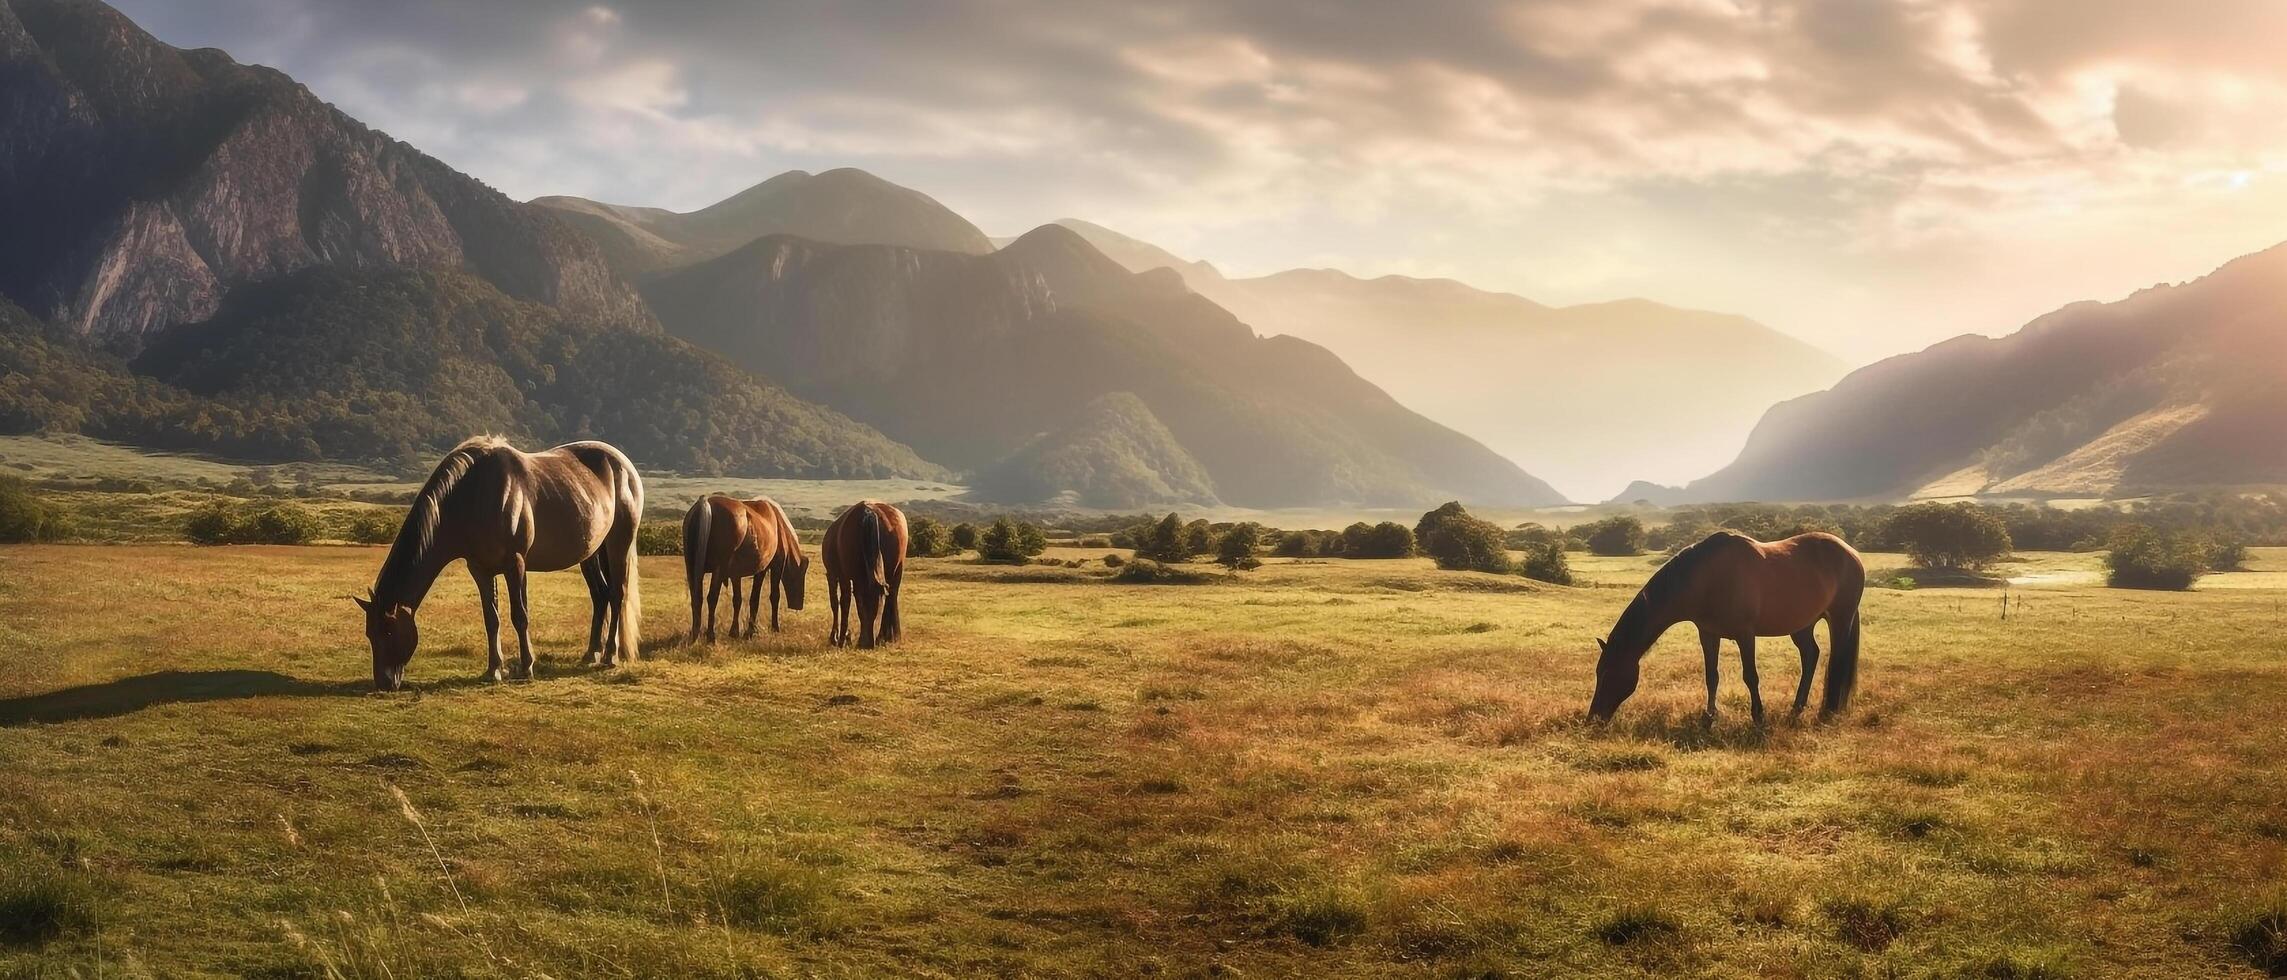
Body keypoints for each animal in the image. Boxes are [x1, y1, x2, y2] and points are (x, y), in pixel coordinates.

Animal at [353, 436, 644, 691]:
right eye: (369, 634)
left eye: (388, 632)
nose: (384, 683)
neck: (474, 495)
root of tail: (623, 465)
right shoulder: (480, 570)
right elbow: (491, 619)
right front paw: (493, 670)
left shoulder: (515, 564)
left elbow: (520, 616)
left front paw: (526, 667)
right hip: (591, 554)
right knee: (600, 596)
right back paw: (591, 653)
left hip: (619, 543)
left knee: (617, 595)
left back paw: (610, 656)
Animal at [682, 494, 808, 642]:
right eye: (802, 574)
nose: (798, 605)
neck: (779, 525)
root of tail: (705, 503)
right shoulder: (770, 567)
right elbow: (768, 597)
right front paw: (766, 629)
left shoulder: (735, 573)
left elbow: (737, 600)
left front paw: (735, 631)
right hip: (718, 569)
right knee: (712, 598)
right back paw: (711, 636)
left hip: (692, 568)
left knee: (696, 597)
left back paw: (695, 634)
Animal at [822, 500, 907, 648]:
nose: (869, 643)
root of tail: (870, 512)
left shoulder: (839, 576)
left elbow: (840, 603)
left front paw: (840, 638)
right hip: (895, 570)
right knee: (893, 596)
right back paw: (889, 637)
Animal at [1588, 530, 1864, 723]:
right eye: (1598, 672)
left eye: (1609, 673)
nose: (1593, 718)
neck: (1707, 579)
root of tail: (1851, 553)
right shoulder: (1708, 634)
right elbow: (1712, 676)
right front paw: (1710, 715)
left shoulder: (1745, 635)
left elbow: (1751, 676)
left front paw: (1758, 716)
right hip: (1802, 625)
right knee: (1810, 656)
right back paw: (1796, 709)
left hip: (1840, 618)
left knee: (1836, 660)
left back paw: (1828, 710)